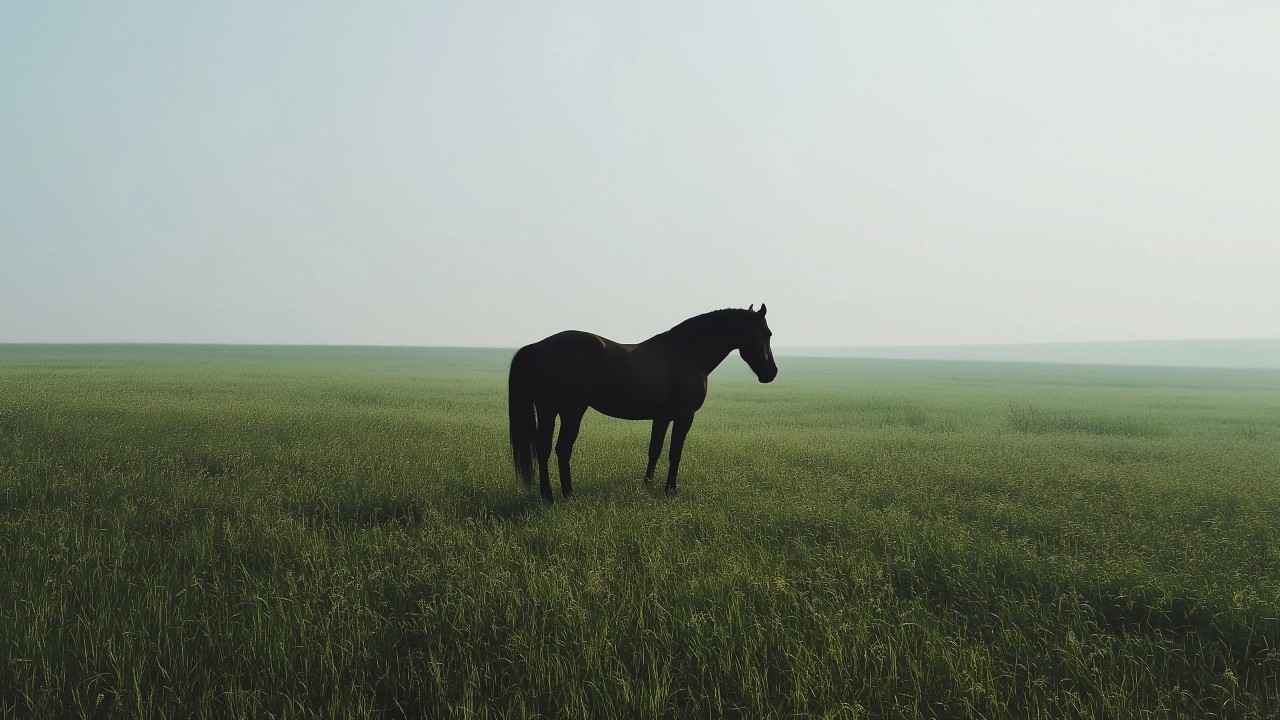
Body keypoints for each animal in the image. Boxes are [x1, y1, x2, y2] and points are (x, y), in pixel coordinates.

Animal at [508, 304, 777, 501]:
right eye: (767, 334)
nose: (771, 373)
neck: (687, 353)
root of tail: (537, 347)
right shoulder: (684, 416)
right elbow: (675, 452)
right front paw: (670, 491)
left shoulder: (662, 416)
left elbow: (655, 450)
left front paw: (647, 485)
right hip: (565, 411)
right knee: (554, 448)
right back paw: (557, 495)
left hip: (560, 411)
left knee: (553, 449)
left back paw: (561, 494)